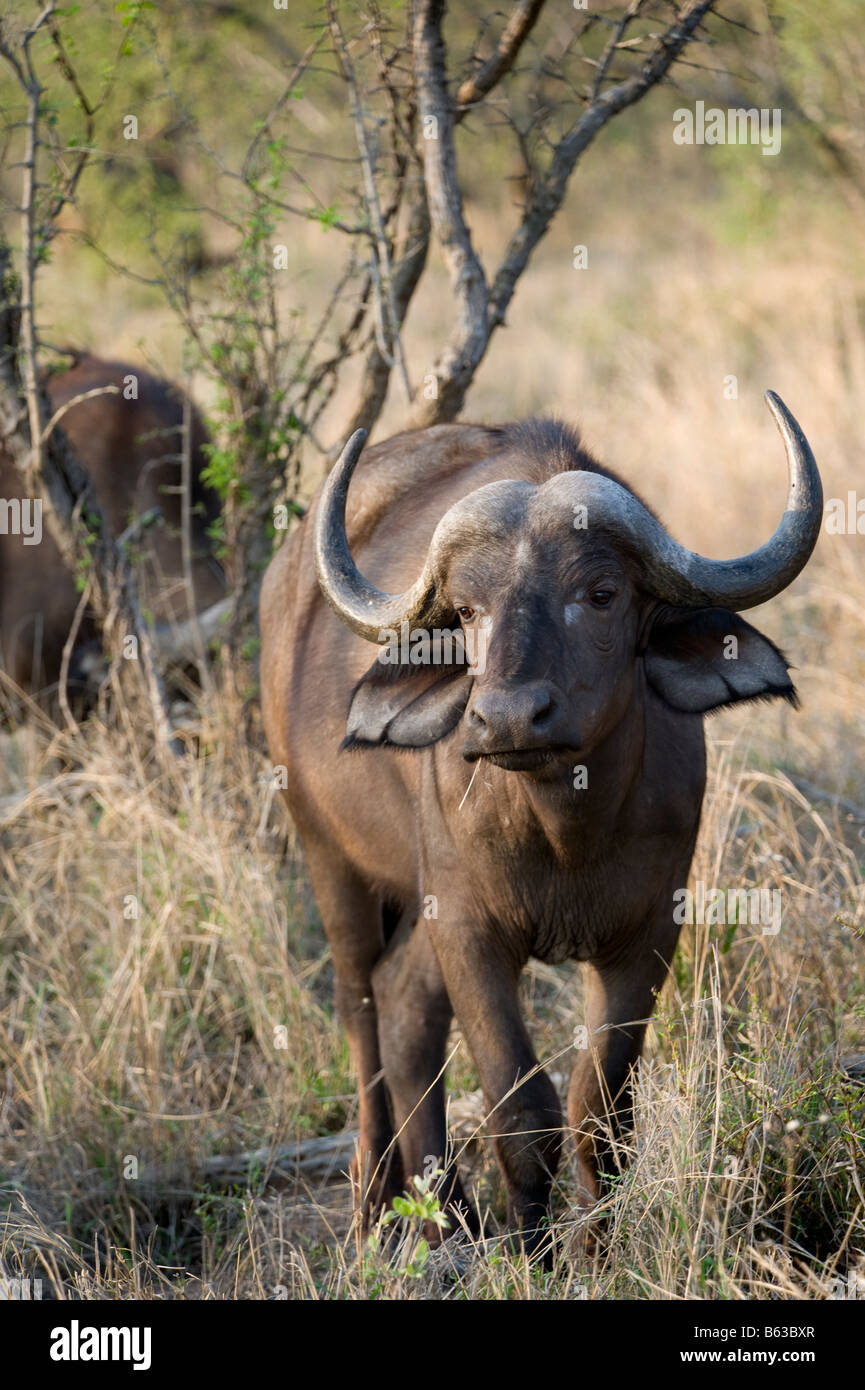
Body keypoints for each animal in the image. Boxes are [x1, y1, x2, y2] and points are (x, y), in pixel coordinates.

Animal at [260, 393, 822, 1253]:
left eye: (600, 594)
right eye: (465, 609)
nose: (506, 718)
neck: (567, 828)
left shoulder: (647, 932)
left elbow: (600, 1106)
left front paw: (596, 1245)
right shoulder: (469, 928)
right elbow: (521, 1106)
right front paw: (533, 1250)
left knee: (405, 1004)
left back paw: (446, 1211)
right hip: (332, 864)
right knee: (362, 1012)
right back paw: (376, 1204)